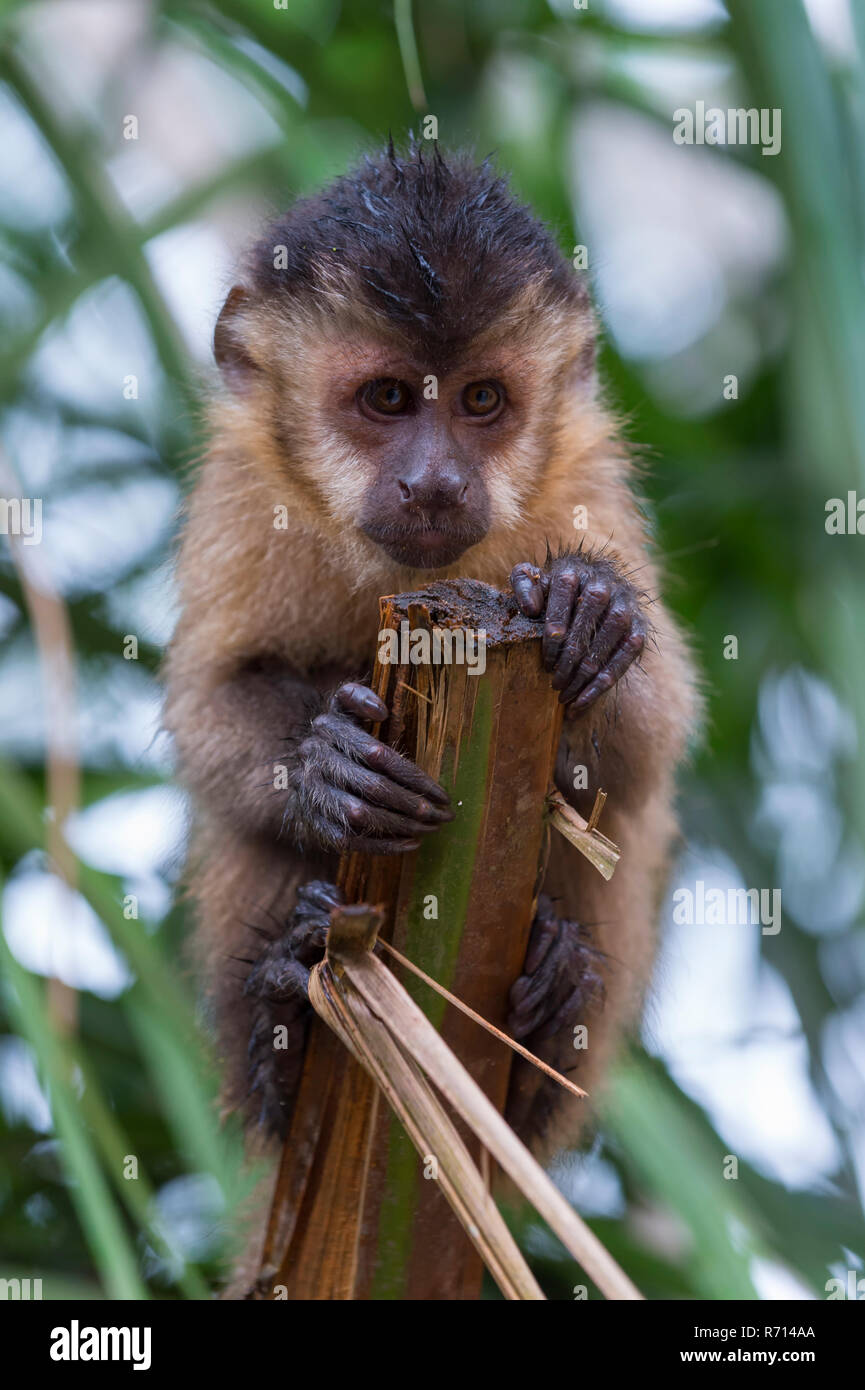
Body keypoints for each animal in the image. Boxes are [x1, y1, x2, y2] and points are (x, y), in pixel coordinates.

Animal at [166, 141, 700, 1200]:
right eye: (386, 399)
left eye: (480, 401)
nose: (435, 483)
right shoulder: (245, 479)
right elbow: (209, 697)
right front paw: (328, 768)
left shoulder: (581, 470)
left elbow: (650, 752)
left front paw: (591, 614)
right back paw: (282, 1028)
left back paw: (551, 1010)